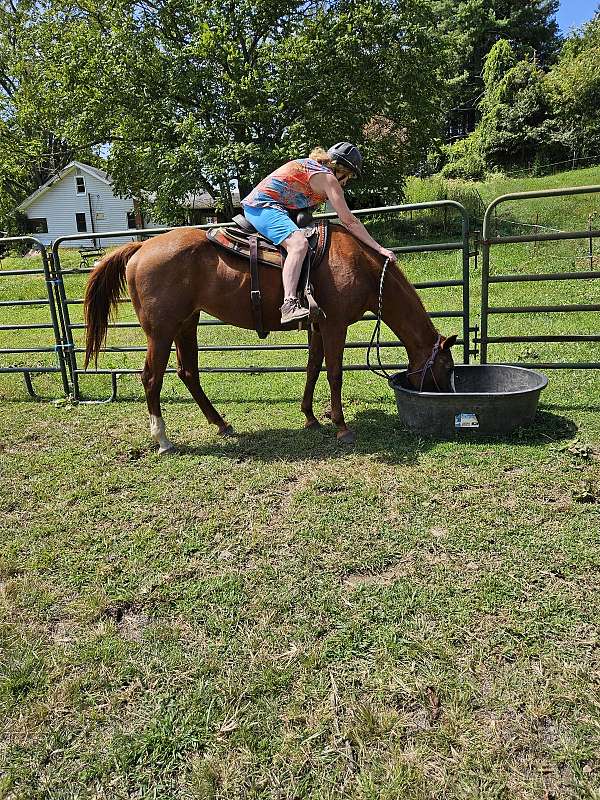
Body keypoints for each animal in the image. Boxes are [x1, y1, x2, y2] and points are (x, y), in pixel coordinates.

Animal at [84, 224, 457, 453]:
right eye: (447, 368)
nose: (446, 397)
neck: (359, 264)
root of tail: (142, 246)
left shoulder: (318, 328)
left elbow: (313, 369)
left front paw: (310, 417)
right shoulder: (335, 327)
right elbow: (335, 374)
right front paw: (341, 426)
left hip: (186, 324)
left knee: (188, 372)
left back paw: (221, 424)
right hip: (161, 332)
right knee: (151, 378)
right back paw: (163, 439)